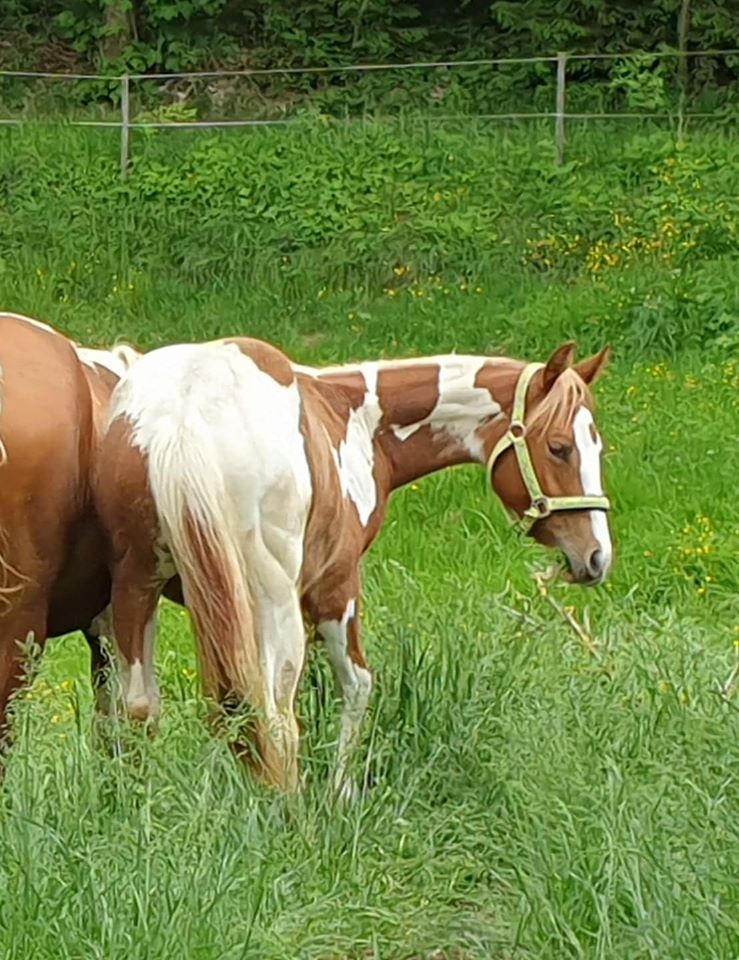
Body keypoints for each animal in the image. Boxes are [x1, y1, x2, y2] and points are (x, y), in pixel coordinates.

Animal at [95, 335, 613, 796]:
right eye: (559, 447)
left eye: (597, 448)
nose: (597, 556)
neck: (357, 416)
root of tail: (183, 416)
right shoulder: (336, 586)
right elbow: (357, 684)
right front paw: (340, 793)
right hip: (271, 602)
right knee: (276, 718)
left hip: (137, 587)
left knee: (142, 707)